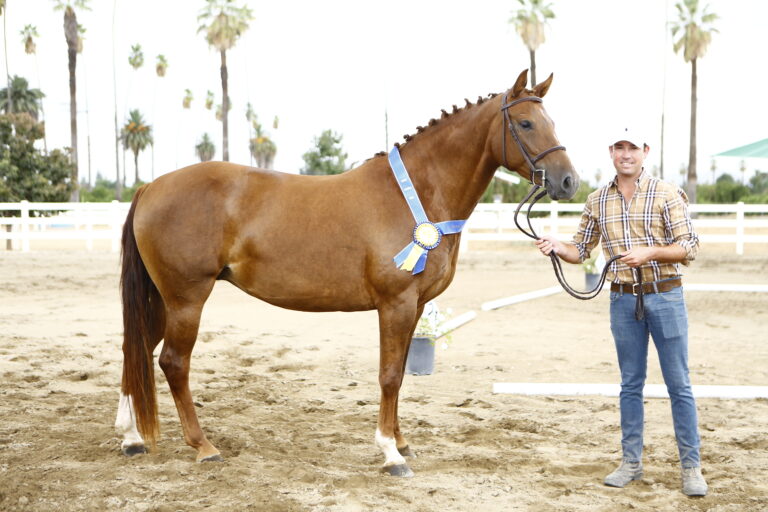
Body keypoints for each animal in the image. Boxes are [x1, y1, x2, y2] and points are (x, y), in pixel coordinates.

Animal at [114, 69, 578, 477]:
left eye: (552, 122)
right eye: (525, 123)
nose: (568, 182)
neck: (417, 196)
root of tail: (150, 187)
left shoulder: (415, 307)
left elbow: (401, 372)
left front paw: (401, 441)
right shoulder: (396, 304)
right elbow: (389, 376)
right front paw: (391, 454)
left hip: (163, 300)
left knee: (134, 350)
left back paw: (132, 438)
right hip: (187, 299)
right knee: (173, 363)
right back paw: (203, 447)